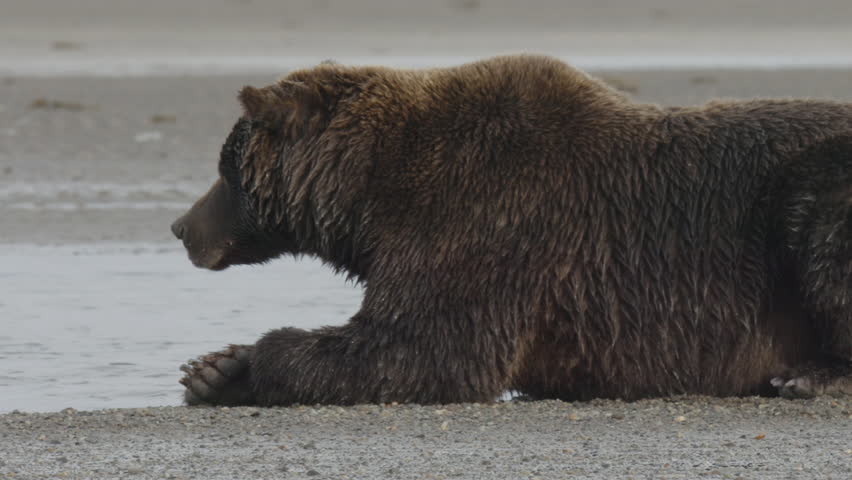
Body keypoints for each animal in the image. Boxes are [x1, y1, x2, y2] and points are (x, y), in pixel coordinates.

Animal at [172, 54, 852, 406]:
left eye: (225, 170)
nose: (180, 226)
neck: (371, 193)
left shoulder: (488, 217)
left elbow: (423, 348)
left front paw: (251, 356)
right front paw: (213, 369)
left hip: (813, 190)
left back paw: (805, 375)